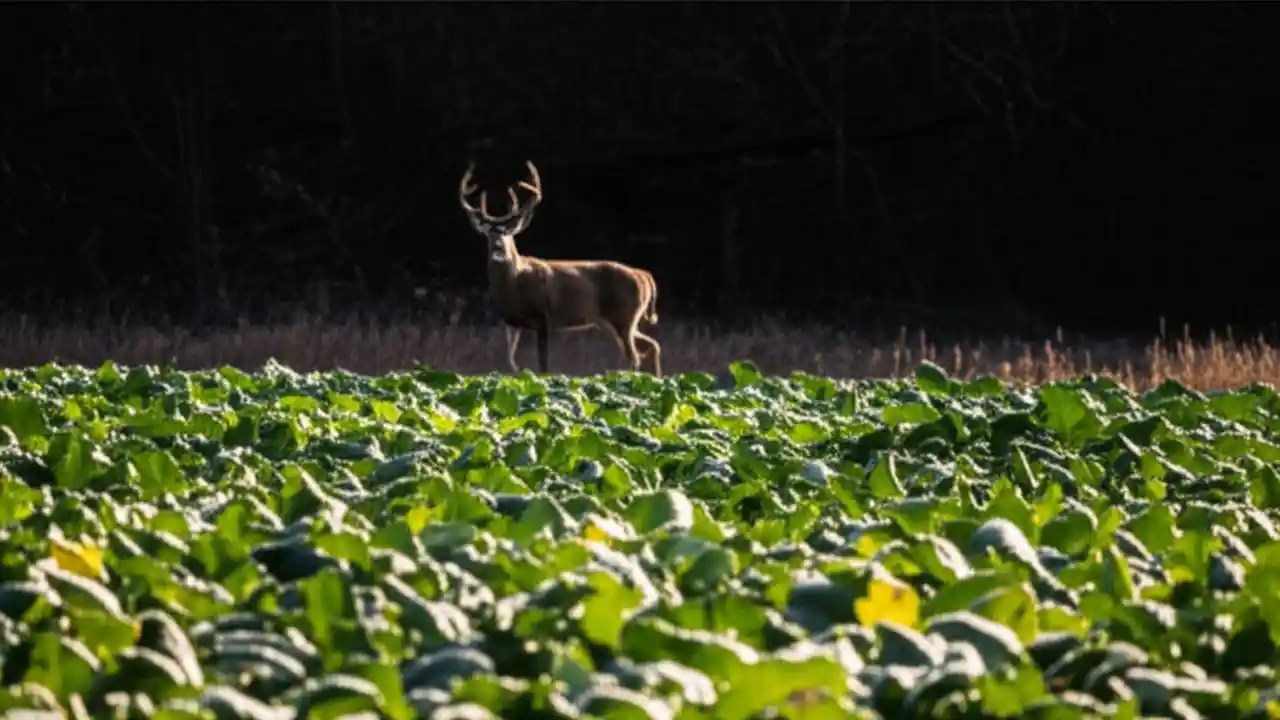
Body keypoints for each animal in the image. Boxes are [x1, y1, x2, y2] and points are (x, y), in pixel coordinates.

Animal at [458, 160, 663, 377]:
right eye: (488, 234)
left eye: (509, 232)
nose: (498, 248)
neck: (514, 285)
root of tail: (643, 275)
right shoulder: (511, 323)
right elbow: (511, 362)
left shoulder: (543, 316)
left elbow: (544, 366)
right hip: (610, 321)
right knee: (652, 345)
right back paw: (655, 379)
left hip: (624, 316)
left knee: (635, 356)